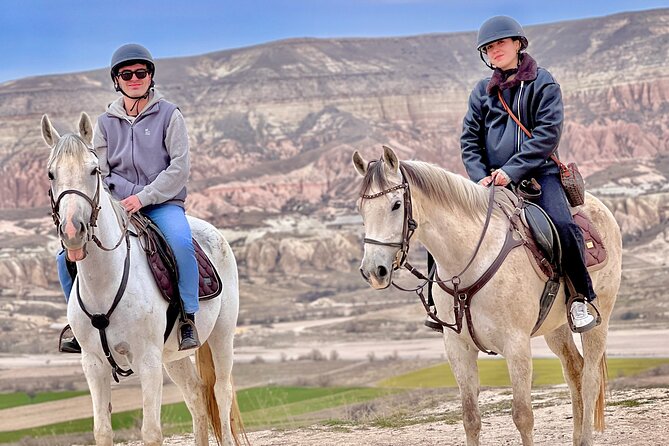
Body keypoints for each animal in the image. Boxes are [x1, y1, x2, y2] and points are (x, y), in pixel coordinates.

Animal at [42, 112, 248, 446]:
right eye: (51, 174)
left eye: (94, 170)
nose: (73, 231)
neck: (105, 281)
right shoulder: (93, 365)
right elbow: (102, 431)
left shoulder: (148, 362)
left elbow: (151, 432)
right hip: (175, 356)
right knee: (197, 396)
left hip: (222, 336)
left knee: (221, 390)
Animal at [353, 146, 622, 446]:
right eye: (361, 208)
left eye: (396, 204)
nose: (373, 271)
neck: (471, 259)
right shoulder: (458, 348)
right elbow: (470, 418)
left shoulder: (516, 345)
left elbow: (523, 416)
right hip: (557, 327)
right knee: (574, 370)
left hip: (599, 320)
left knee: (590, 380)